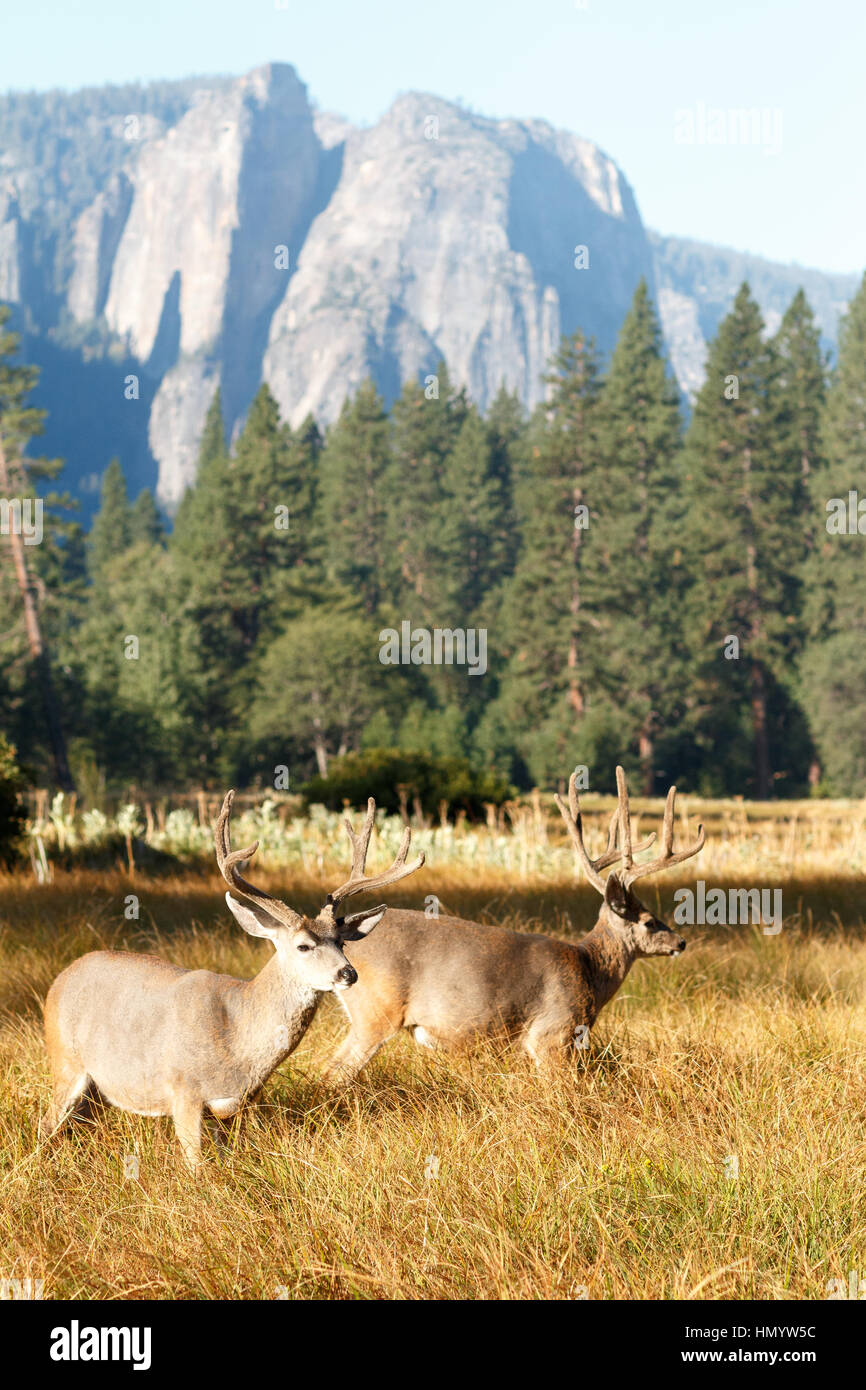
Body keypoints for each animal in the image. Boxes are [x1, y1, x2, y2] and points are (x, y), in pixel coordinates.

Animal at [41, 791, 424, 1170]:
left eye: (341, 942)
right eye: (303, 945)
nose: (348, 973)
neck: (237, 1035)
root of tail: (60, 978)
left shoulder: (235, 1107)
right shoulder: (183, 1092)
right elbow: (196, 1167)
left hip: (98, 1087)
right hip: (65, 1061)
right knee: (47, 1123)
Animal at [323, 766, 705, 1082]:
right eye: (650, 921)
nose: (680, 942)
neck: (590, 969)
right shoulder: (553, 1034)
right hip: (375, 1013)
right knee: (333, 1072)